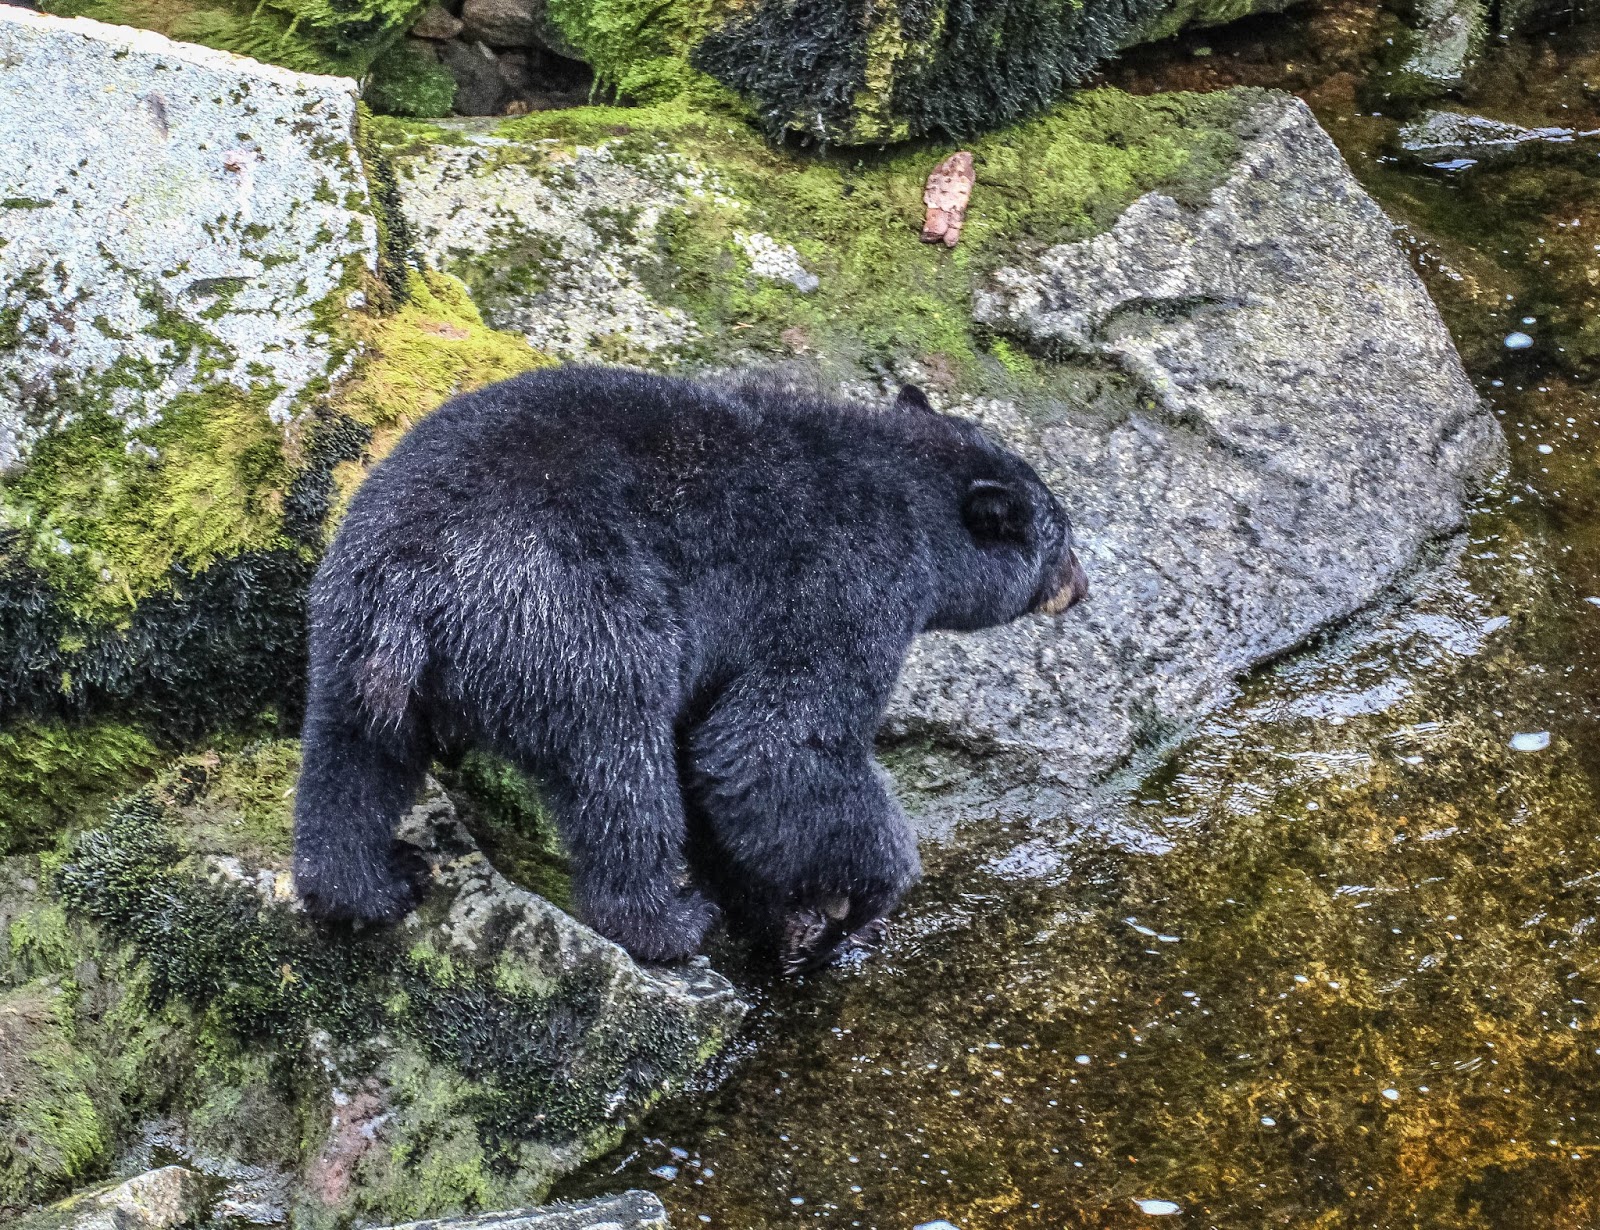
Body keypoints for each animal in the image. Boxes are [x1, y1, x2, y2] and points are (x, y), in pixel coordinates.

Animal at [291, 365, 1088, 972]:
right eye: (1060, 538)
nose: (1081, 584)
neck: (902, 485)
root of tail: (411, 584)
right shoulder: (846, 591)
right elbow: (768, 747)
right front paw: (860, 898)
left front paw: (778, 913)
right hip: (574, 623)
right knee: (622, 775)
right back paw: (668, 922)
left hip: (346, 635)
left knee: (349, 763)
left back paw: (366, 888)